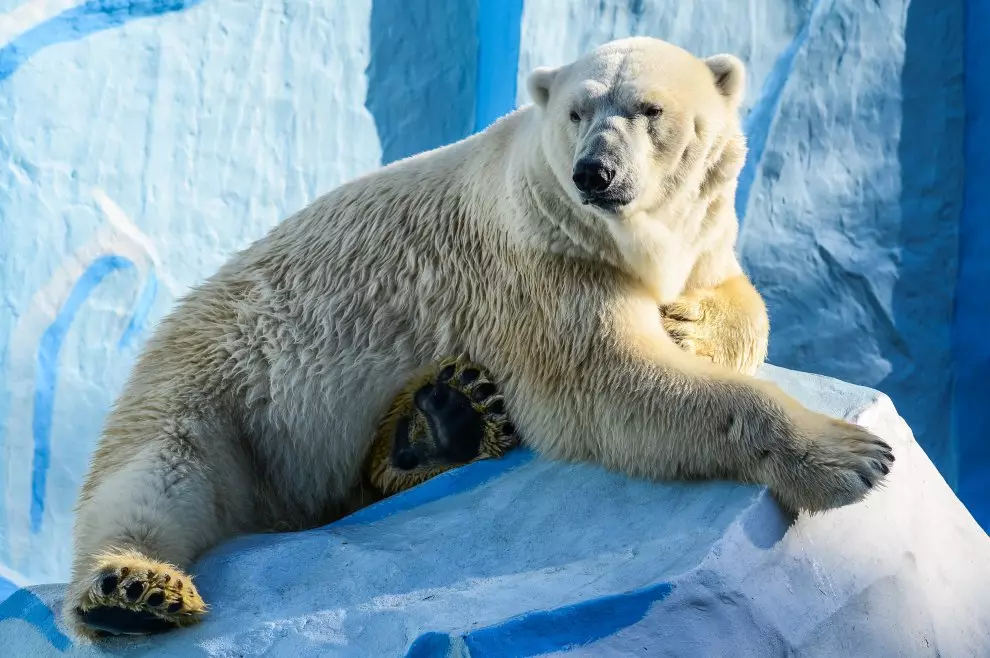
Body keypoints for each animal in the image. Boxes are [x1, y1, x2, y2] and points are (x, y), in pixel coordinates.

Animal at [66, 37, 896, 636]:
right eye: (578, 111)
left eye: (649, 108)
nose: (595, 172)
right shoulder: (541, 268)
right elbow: (612, 385)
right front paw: (854, 456)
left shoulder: (692, 232)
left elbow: (732, 291)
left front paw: (689, 322)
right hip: (214, 385)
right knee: (160, 477)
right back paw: (135, 590)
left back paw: (441, 424)